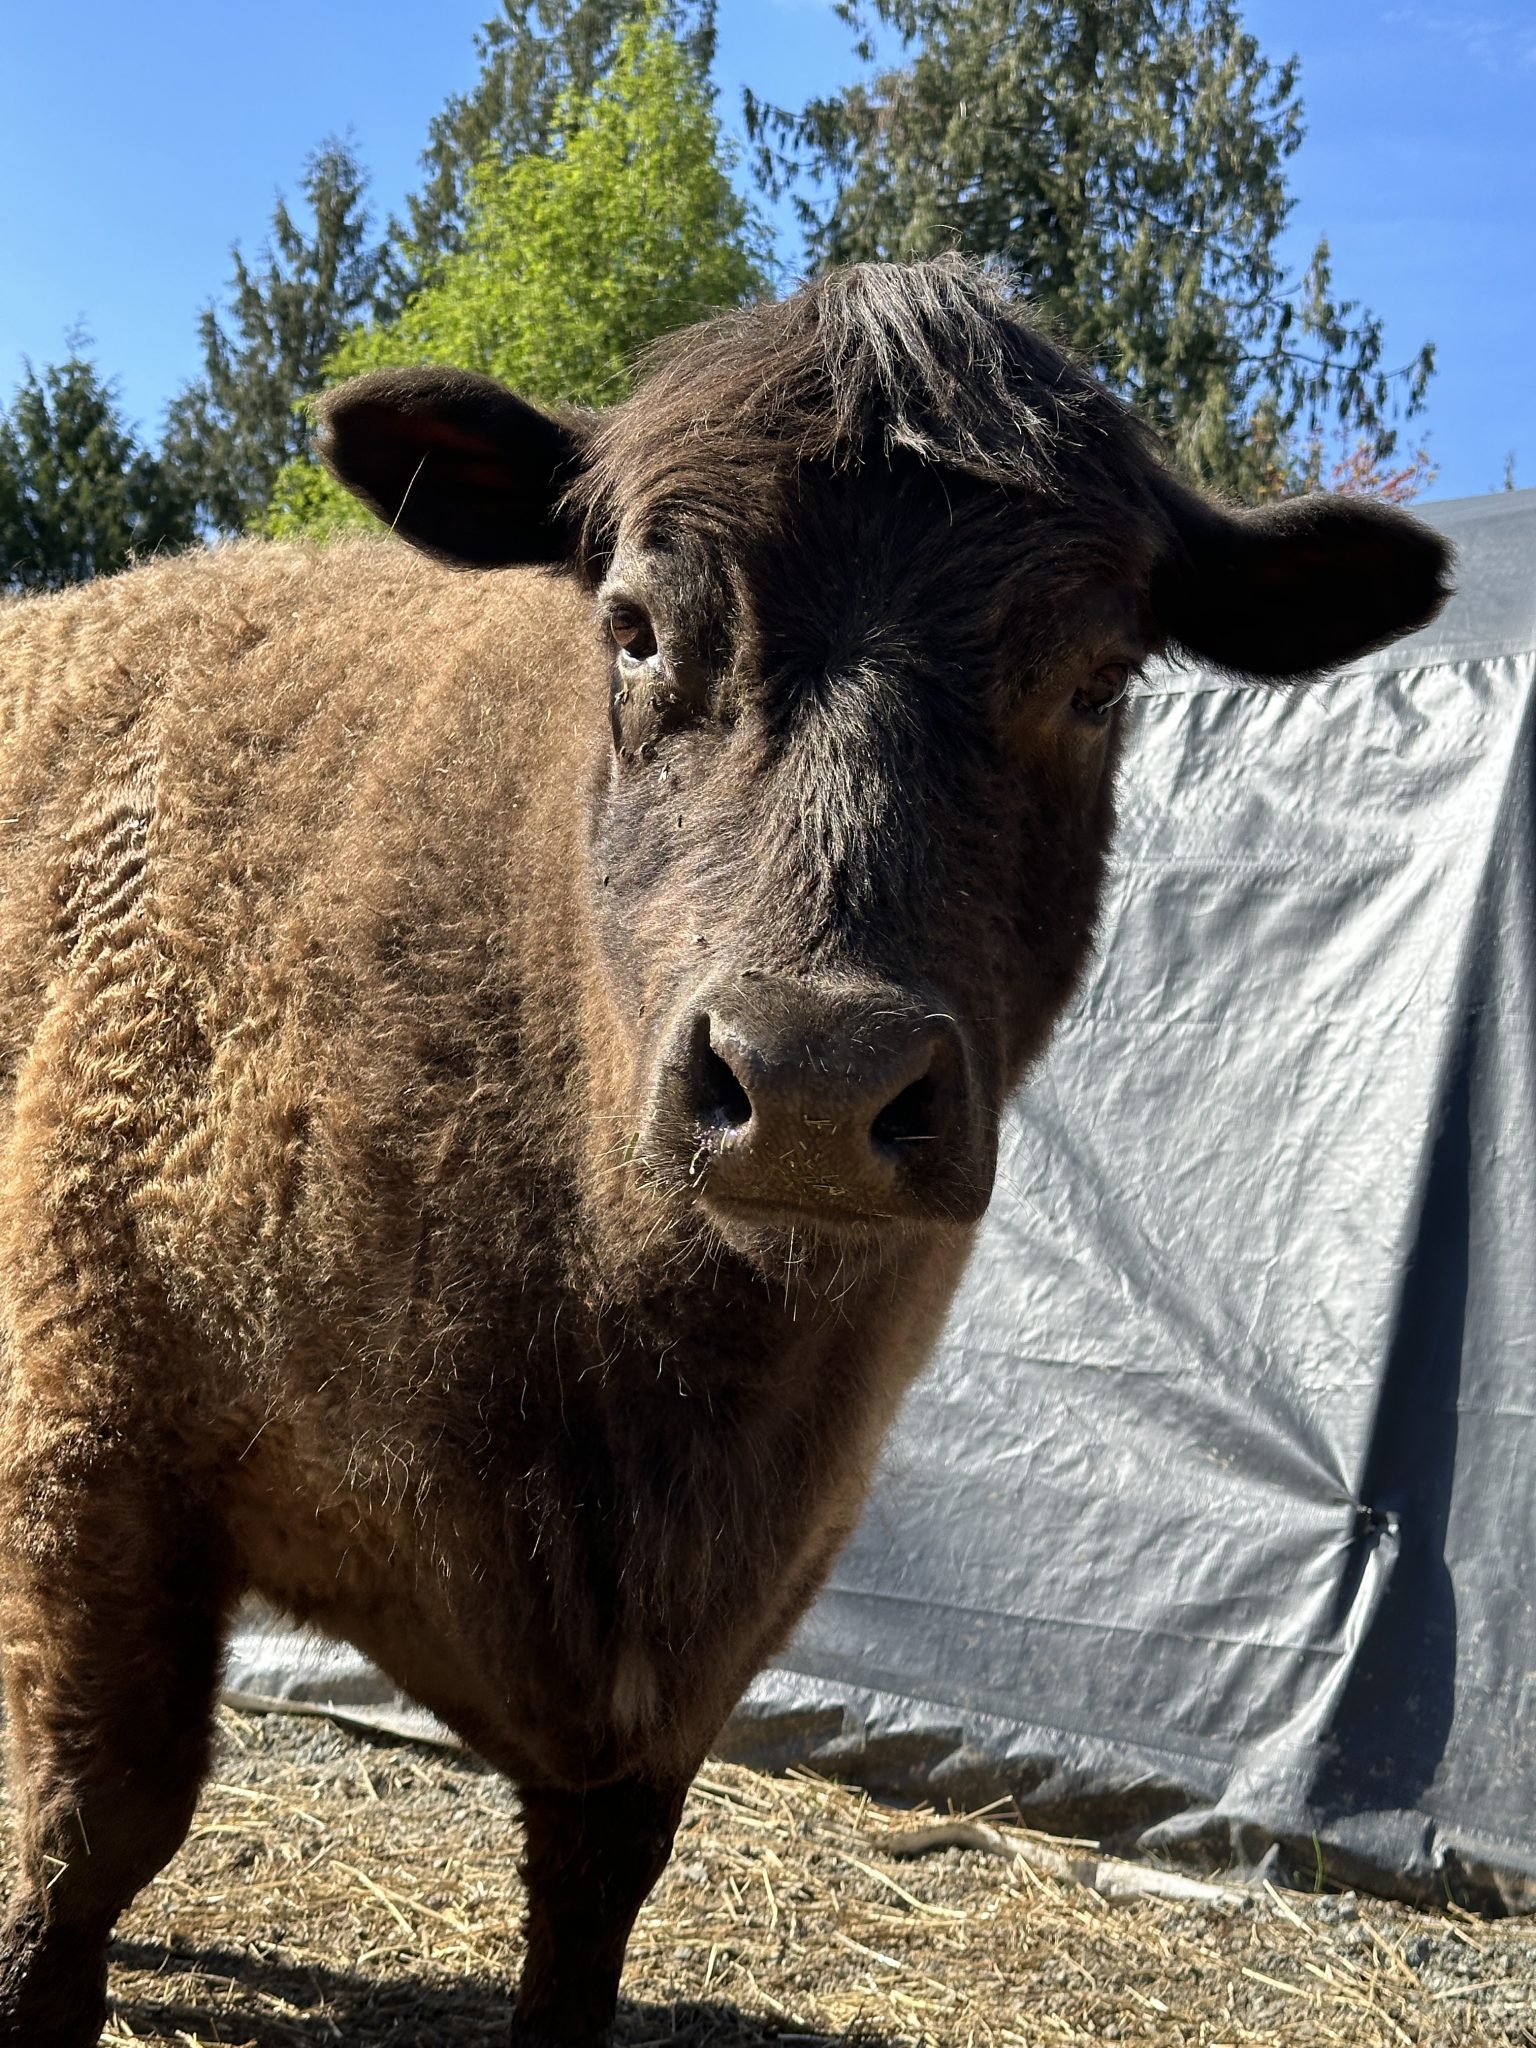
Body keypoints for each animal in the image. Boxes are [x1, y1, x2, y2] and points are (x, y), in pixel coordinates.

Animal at [0, 258, 1449, 2045]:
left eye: (1102, 678)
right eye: (633, 625)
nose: (815, 1079)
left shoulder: (699, 1655)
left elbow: (588, 1919)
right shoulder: (98, 1454)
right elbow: (95, 1837)